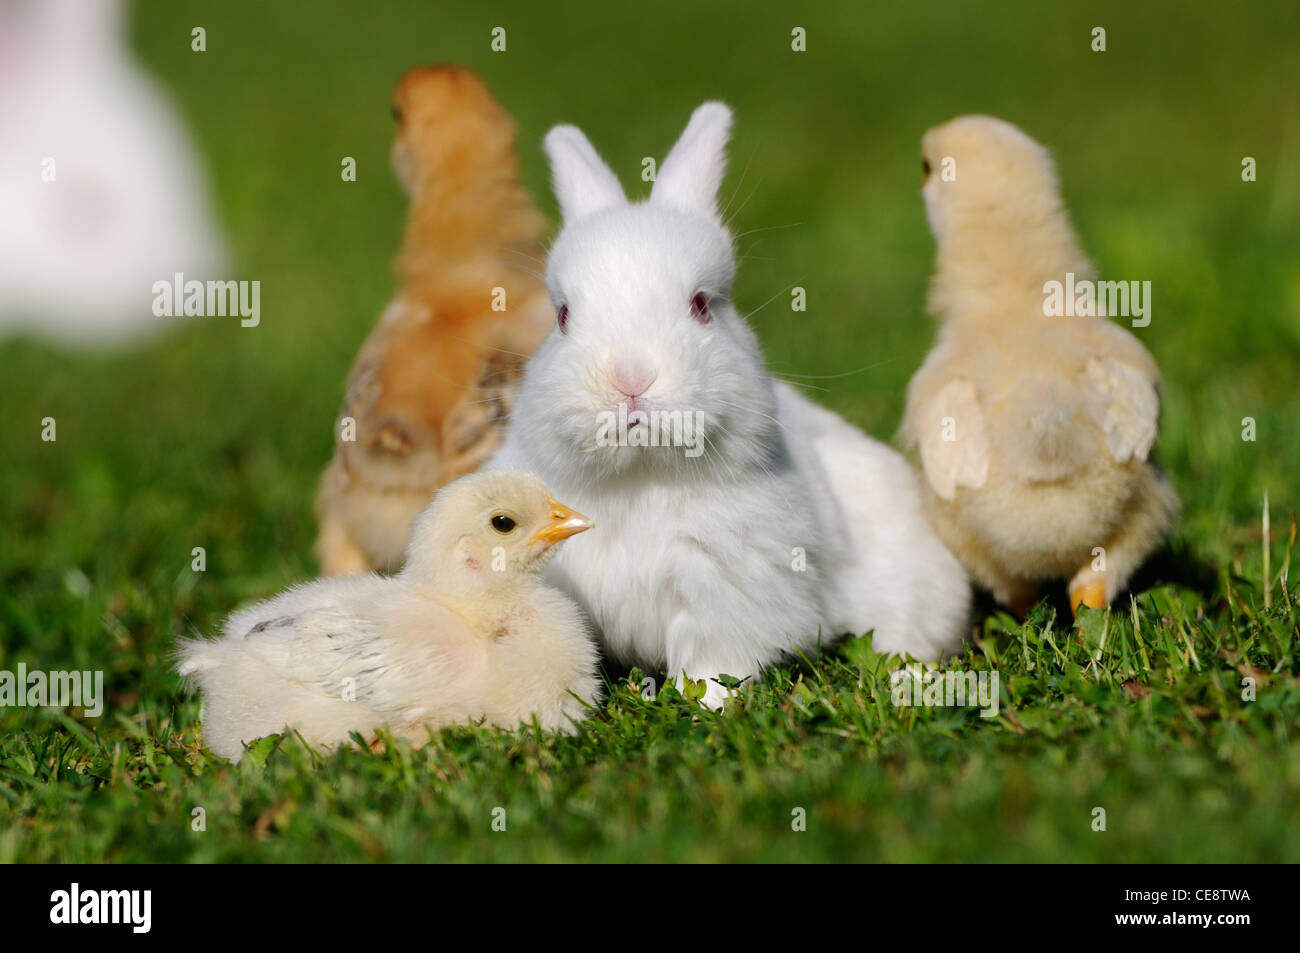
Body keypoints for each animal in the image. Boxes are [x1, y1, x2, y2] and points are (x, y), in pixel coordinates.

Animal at [490, 102, 971, 708]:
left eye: (701, 305)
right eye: (563, 316)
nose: (630, 376)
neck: (641, 478)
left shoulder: (725, 595)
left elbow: (712, 664)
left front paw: (707, 707)